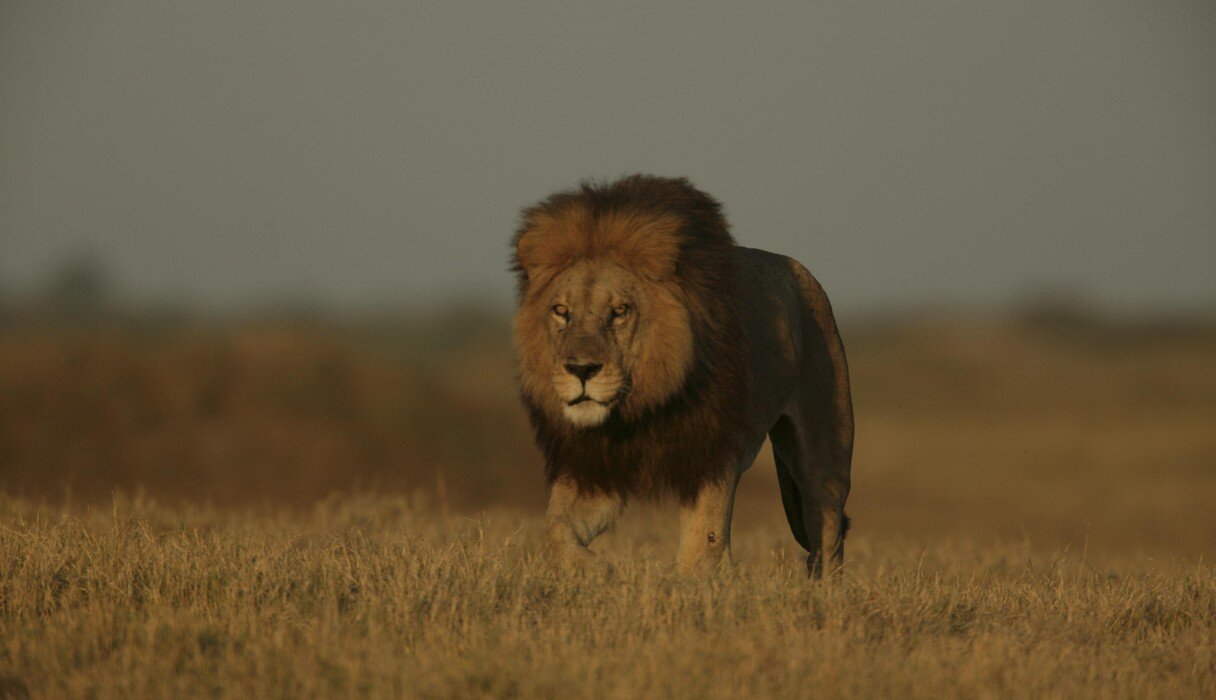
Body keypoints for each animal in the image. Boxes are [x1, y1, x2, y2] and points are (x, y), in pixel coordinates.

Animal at [511, 175, 853, 577]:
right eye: (561, 311)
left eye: (620, 311)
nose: (581, 369)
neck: (643, 404)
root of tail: (803, 272)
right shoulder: (596, 466)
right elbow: (555, 530)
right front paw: (600, 571)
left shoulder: (712, 455)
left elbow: (702, 544)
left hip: (825, 453)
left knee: (827, 536)